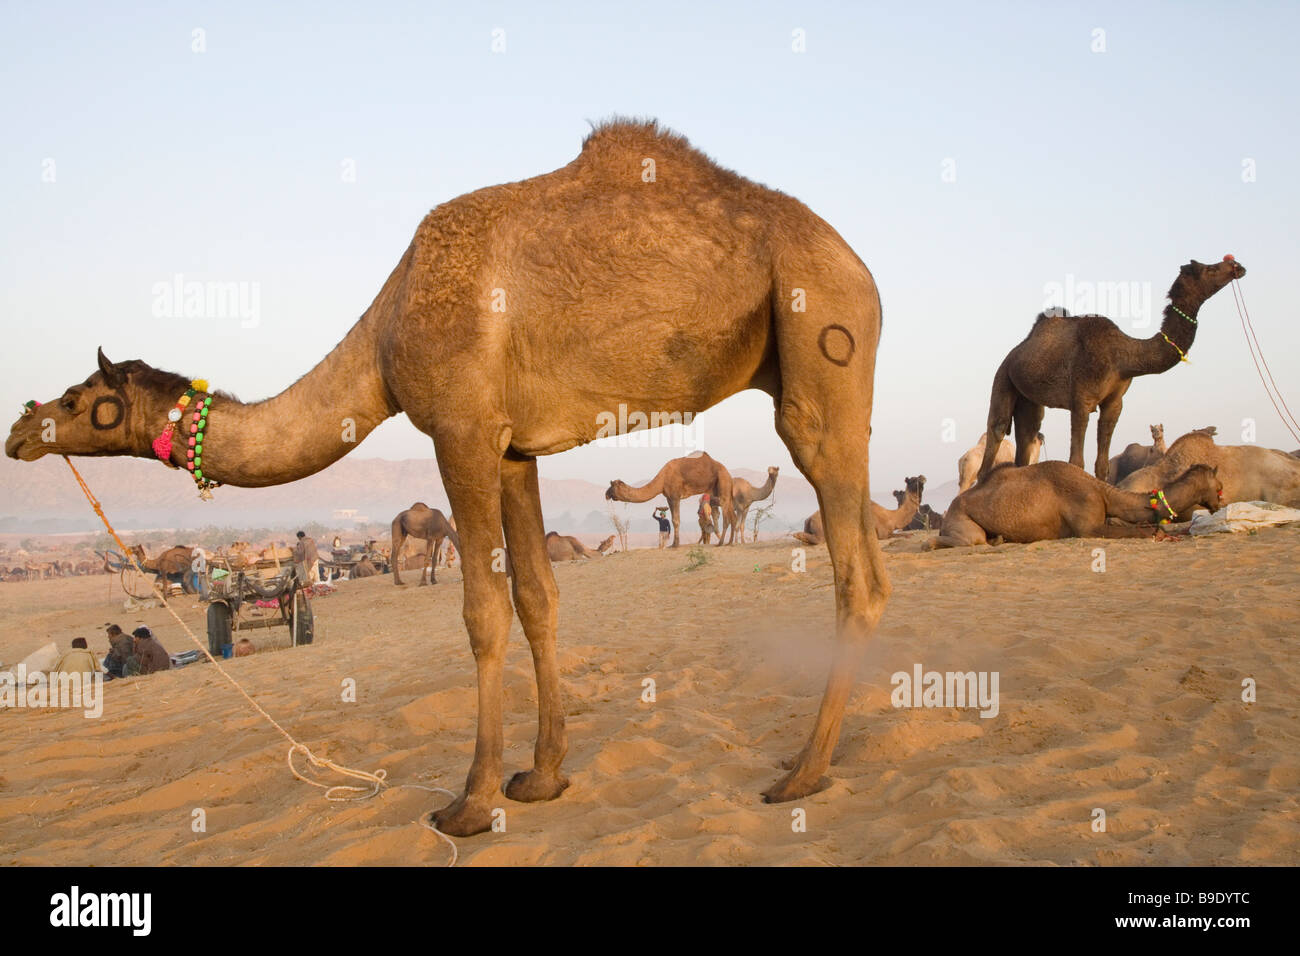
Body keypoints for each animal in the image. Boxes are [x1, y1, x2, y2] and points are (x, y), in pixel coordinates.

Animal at [606, 452, 734, 548]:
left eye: (612, 486)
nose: (606, 494)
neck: (662, 480)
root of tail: (727, 472)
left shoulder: (675, 496)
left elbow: (675, 520)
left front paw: (675, 545)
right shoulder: (668, 497)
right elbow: (673, 519)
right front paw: (673, 544)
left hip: (723, 480)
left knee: (725, 513)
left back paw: (721, 542)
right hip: (716, 488)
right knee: (727, 513)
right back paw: (729, 542)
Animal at [931, 461, 1223, 549]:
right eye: (1218, 486)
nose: (1219, 503)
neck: (1101, 491)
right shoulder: (1089, 527)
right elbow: (1141, 531)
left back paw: (1000, 539)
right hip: (959, 518)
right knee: (969, 540)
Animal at [978, 257, 1246, 482]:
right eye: (1209, 268)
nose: (1237, 266)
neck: (1123, 357)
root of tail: (1015, 352)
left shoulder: (1114, 403)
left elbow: (1102, 465)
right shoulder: (1082, 400)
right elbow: (1076, 461)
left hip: (1029, 400)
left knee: (1026, 439)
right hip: (1003, 377)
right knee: (997, 429)